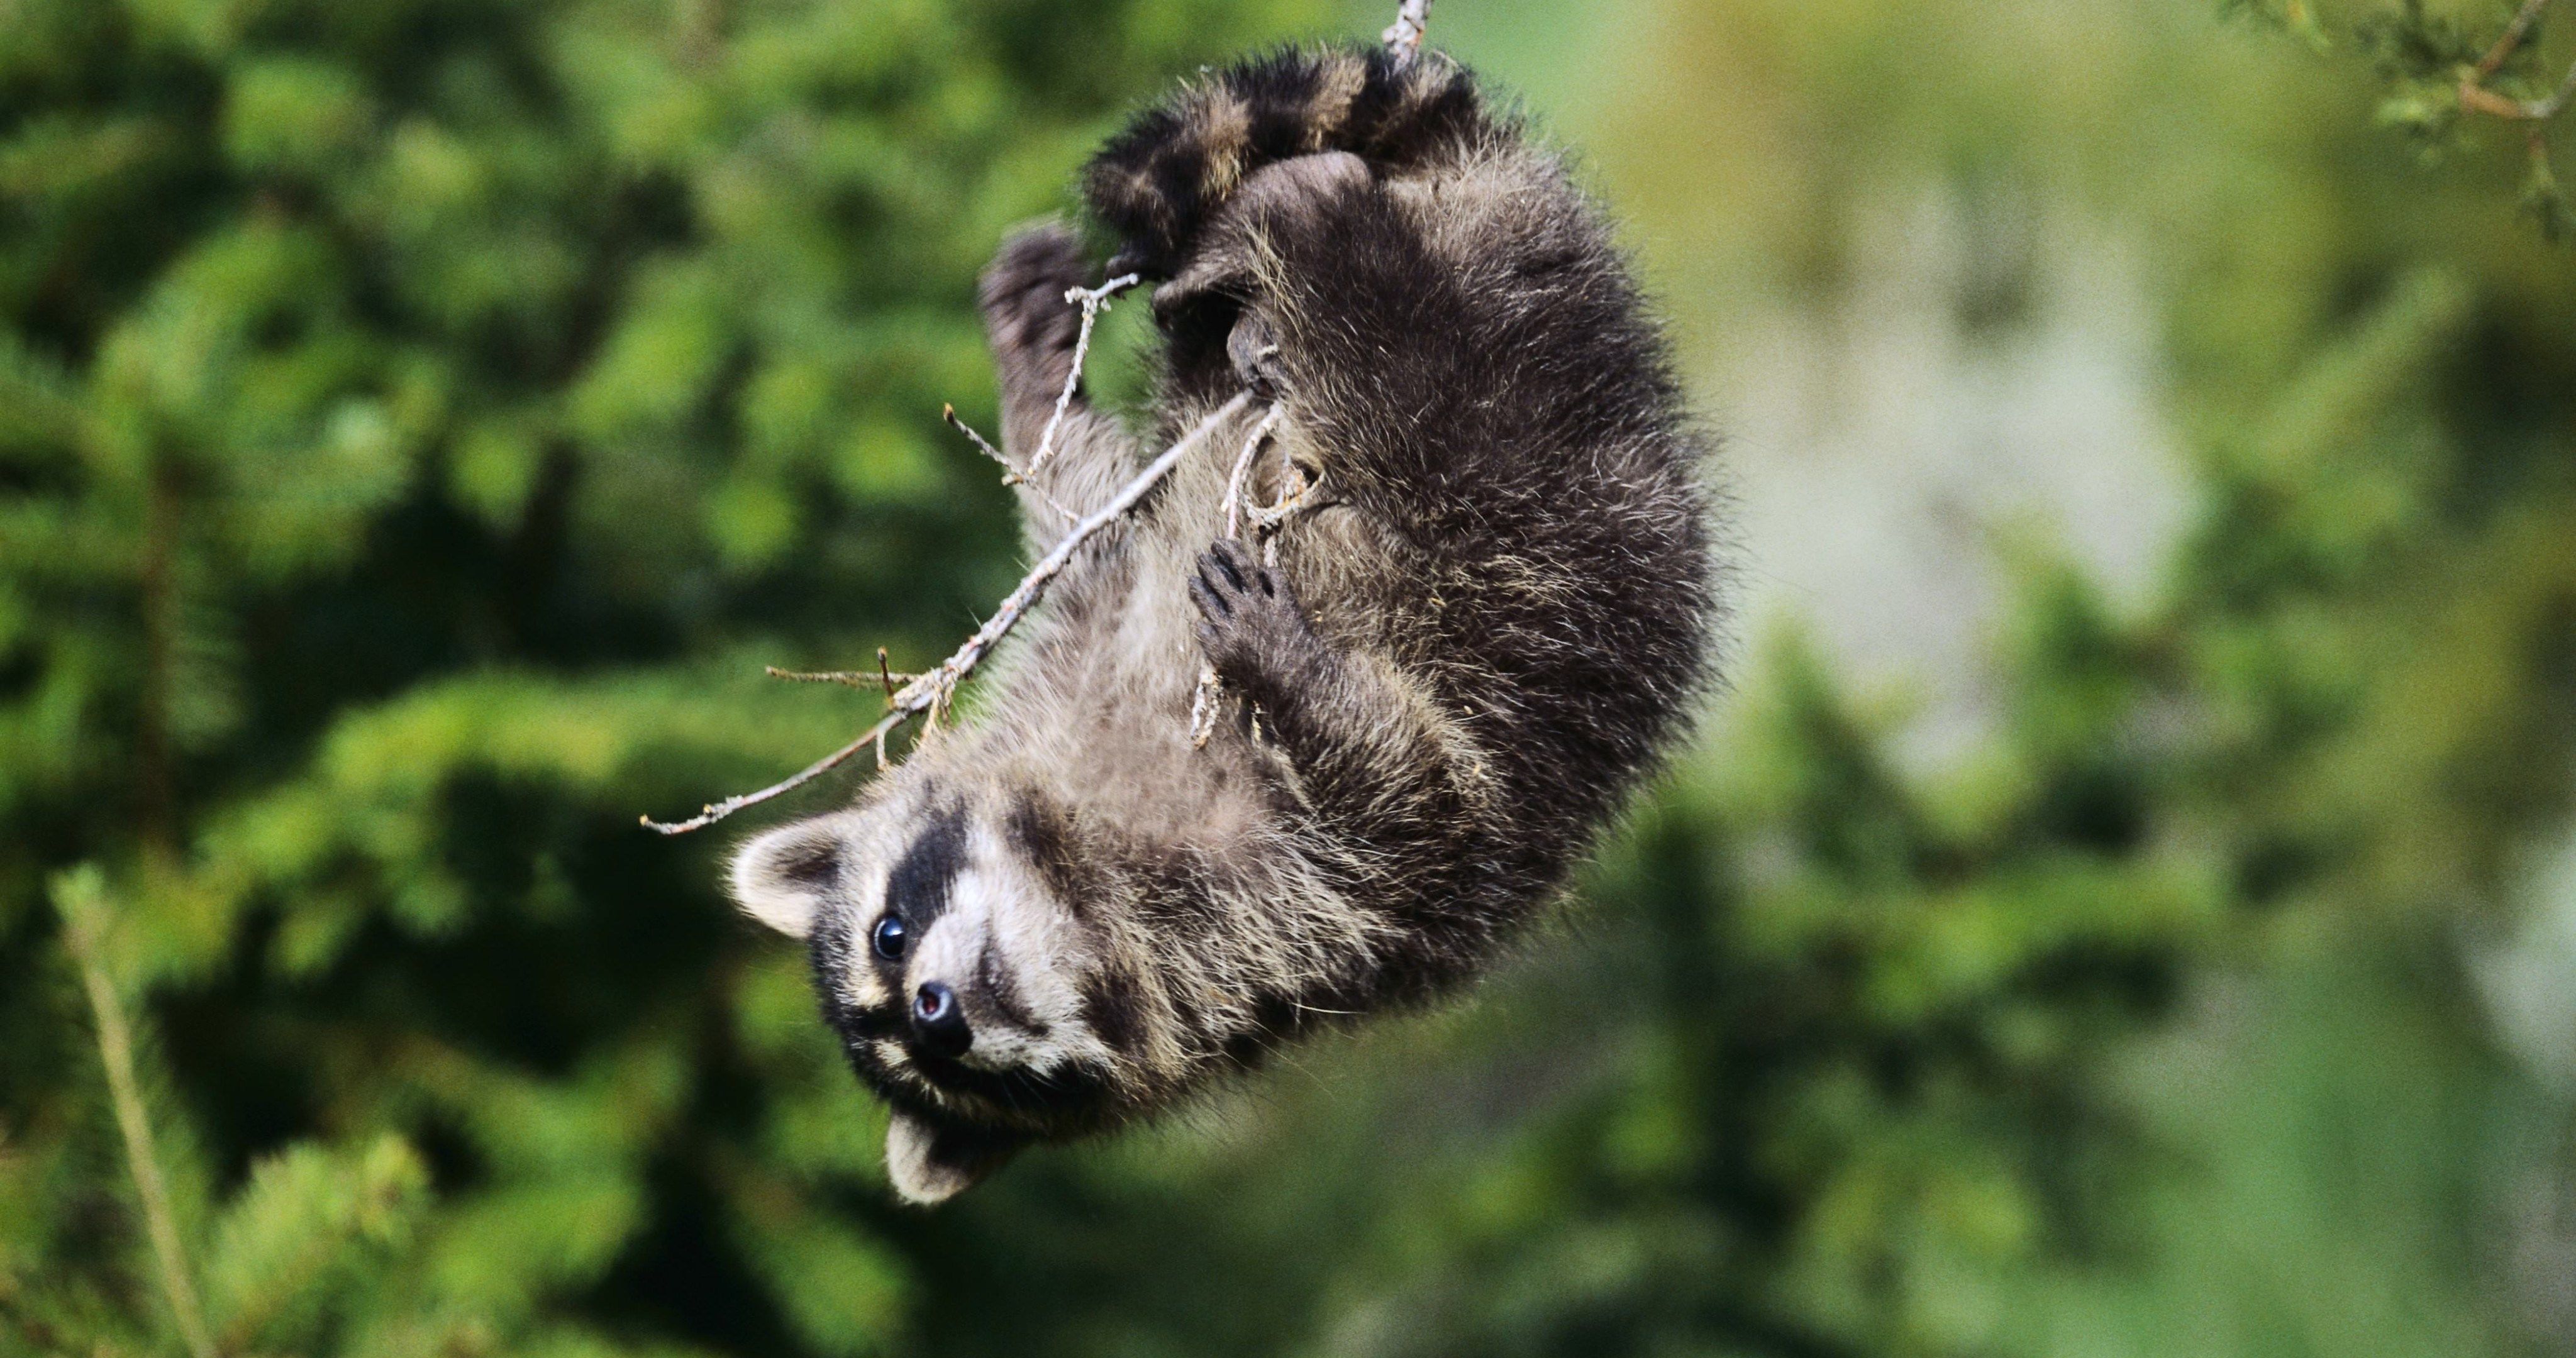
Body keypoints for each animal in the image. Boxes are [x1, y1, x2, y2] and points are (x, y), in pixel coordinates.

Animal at [729, 45, 1722, 1204]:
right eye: (939, 1068)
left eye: (890, 936)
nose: (936, 1015)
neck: (1075, 877)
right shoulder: (1302, 934)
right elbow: (1416, 809)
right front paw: (1308, 683)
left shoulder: (1097, 640)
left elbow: (1091, 513)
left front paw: (1031, 373)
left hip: (1517, 417)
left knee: (1408, 373)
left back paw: (1303, 218)